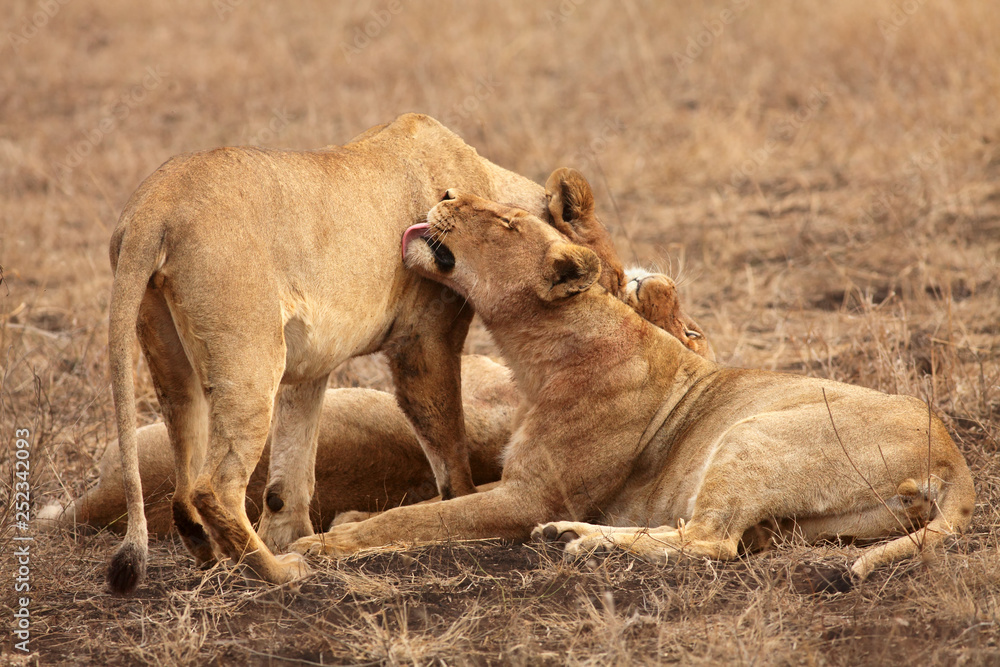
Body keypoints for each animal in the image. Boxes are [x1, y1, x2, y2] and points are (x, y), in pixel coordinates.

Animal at [106, 111, 629, 594]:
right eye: (615, 280)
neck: (490, 192)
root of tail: (155, 202)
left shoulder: (308, 367)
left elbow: (290, 472)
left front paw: (295, 535)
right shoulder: (426, 338)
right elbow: (450, 452)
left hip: (174, 363)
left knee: (183, 487)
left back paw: (218, 560)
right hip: (250, 360)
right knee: (213, 487)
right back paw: (279, 573)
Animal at [288, 188, 974, 589]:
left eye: (506, 222)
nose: (447, 191)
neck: (537, 352)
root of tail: (953, 455)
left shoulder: (532, 496)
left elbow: (422, 516)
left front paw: (327, 542)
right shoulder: (514, 480)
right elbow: (431, 503)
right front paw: (352, 516)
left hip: (753, 432)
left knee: (711, 542)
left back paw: (581, 539)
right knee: (727, 537)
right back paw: (575, 538)